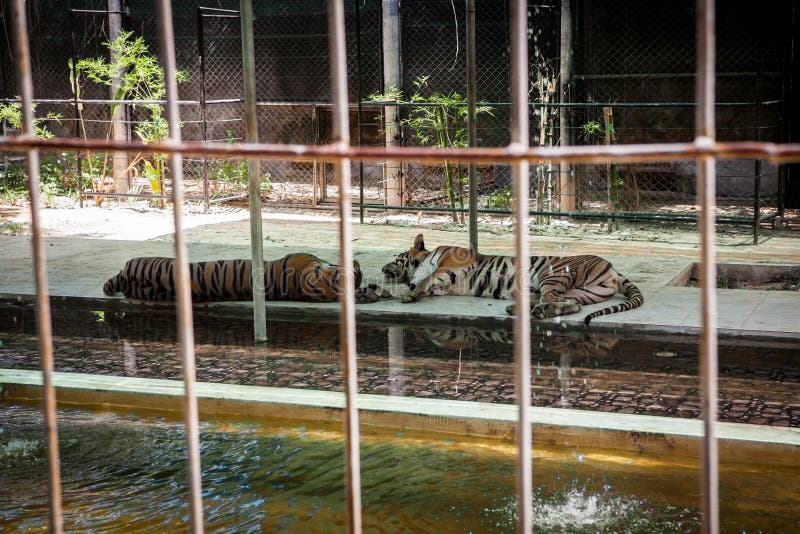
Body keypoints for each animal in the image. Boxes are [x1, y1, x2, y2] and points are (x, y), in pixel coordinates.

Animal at [382, 234, 644, 325]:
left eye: (397, 258)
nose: (383, 267)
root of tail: (613, 267)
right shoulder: (443, 285)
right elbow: (426, 285)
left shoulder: (448, 267)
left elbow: (425, 280)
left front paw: (409, 294)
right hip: (582, 292)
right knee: (571, 304)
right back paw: (520, 308)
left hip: (553, 273)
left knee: (550, 299)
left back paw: (528, 310)